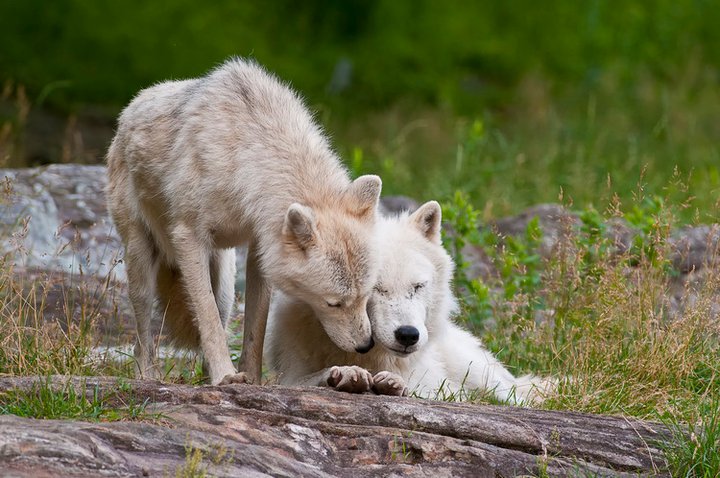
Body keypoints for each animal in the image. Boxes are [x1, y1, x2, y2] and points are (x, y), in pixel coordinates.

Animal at [106, 58, 382, 385]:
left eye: (366, 296)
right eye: (333, 303)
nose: (365, 345)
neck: (243, 157)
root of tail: (128, 111)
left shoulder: (260, 246)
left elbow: (255, 328)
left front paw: (252, 379)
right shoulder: (189, 236)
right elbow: (208, 318)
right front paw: (225, 375)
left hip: (225, 281)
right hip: (142, 261)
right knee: (143, 332)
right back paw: (148, 377)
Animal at [265, 201, 552, 404]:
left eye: (417, 286)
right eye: (375, 289)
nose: (408, 335)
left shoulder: (436, 386)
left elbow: (424, 389)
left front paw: (393, 384)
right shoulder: (289, 371)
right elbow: (304, 379)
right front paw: (343, 374)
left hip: (486, 379)